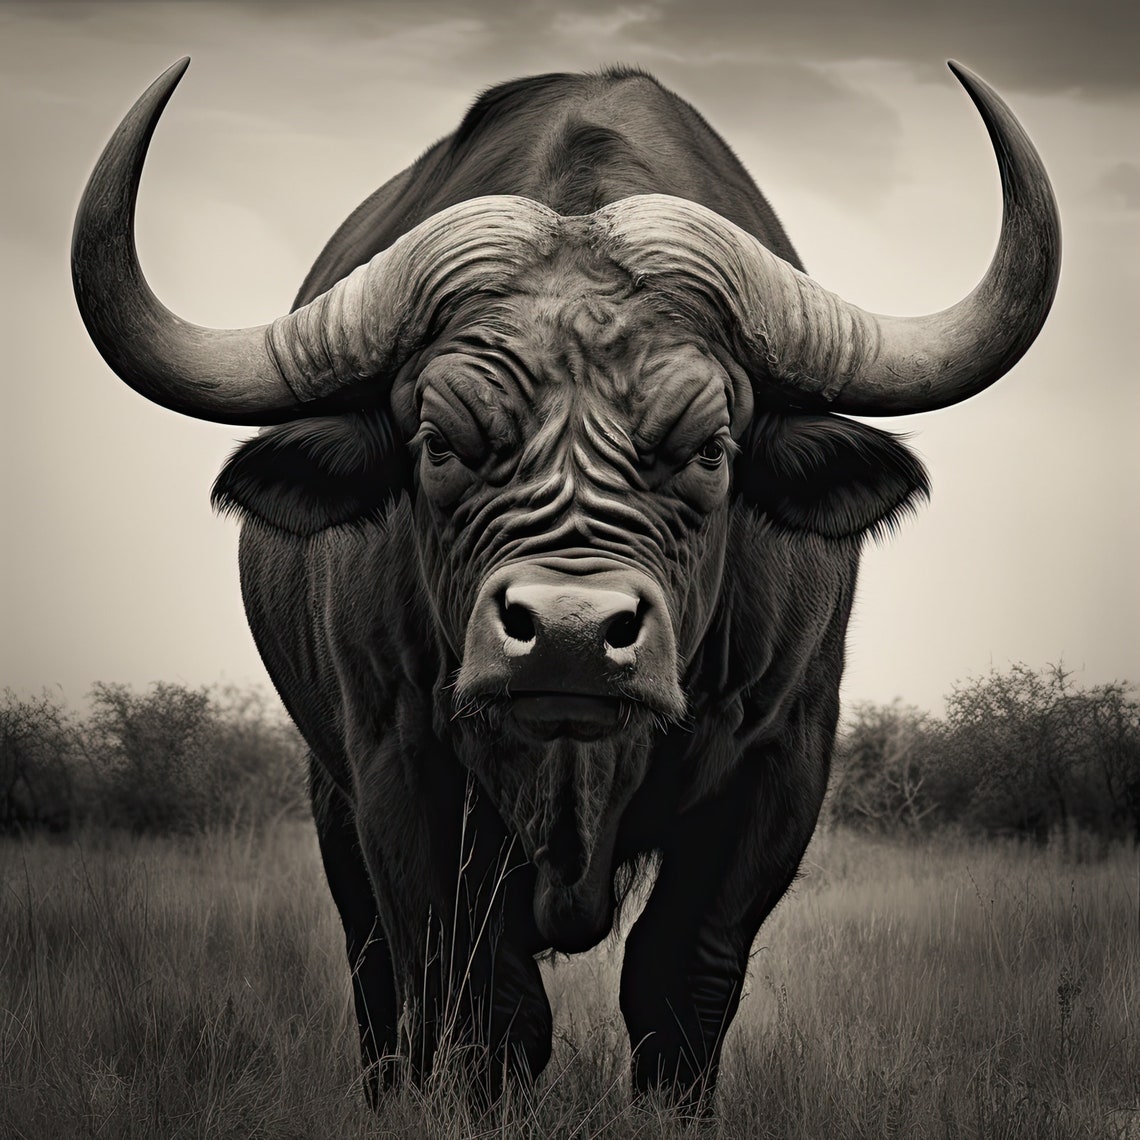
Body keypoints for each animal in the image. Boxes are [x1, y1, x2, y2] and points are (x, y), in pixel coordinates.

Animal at [72, 60, 1059, 1110]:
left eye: (710, 448)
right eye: (439, 443)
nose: (571, 636)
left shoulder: (782, 762)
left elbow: (680, 982)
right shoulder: (393, 762)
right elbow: (479, 996)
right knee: (377, 972)